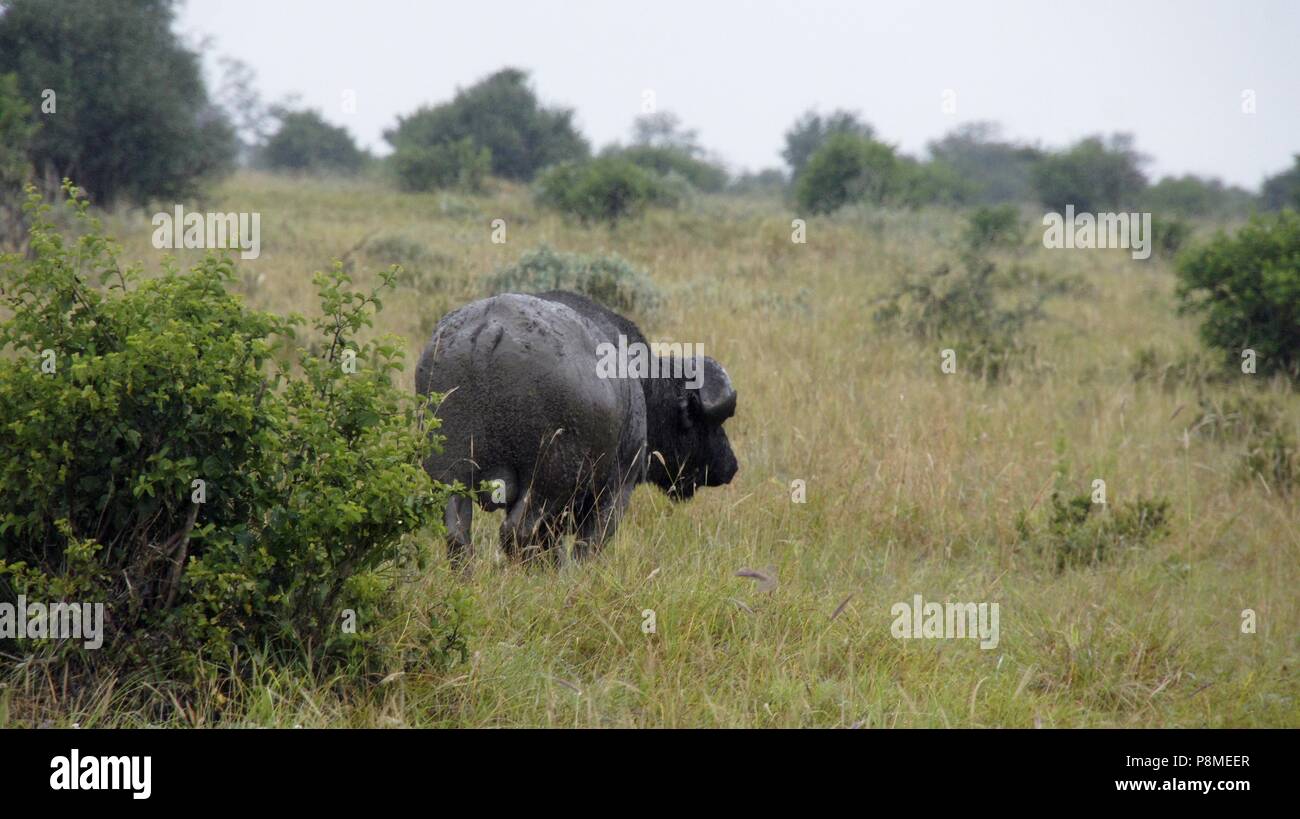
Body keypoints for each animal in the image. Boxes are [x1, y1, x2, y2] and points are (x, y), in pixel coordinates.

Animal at [415, 290, 738, 564]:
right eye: (708, 422)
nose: (730, 465)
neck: (640, 383)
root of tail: (490, 332)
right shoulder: (616, 491)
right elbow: (589, 545)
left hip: (450, 477)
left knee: (459, 536)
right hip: (547, 483)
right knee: (517, 533)